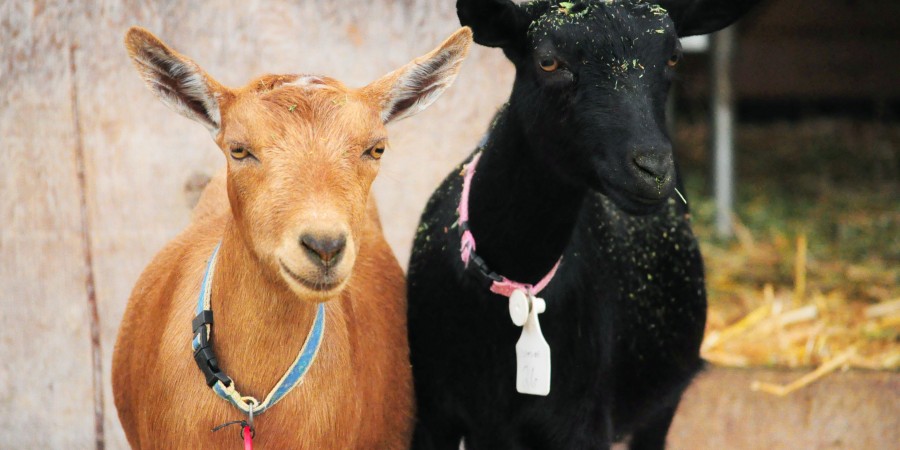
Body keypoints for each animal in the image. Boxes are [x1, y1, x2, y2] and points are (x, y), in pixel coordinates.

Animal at [407, 1, 759, 449]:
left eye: (674, 56)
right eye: (547, 60)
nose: (653, 170)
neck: (514, 283)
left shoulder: (580, 423)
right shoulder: (433, 413)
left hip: (662, 401)